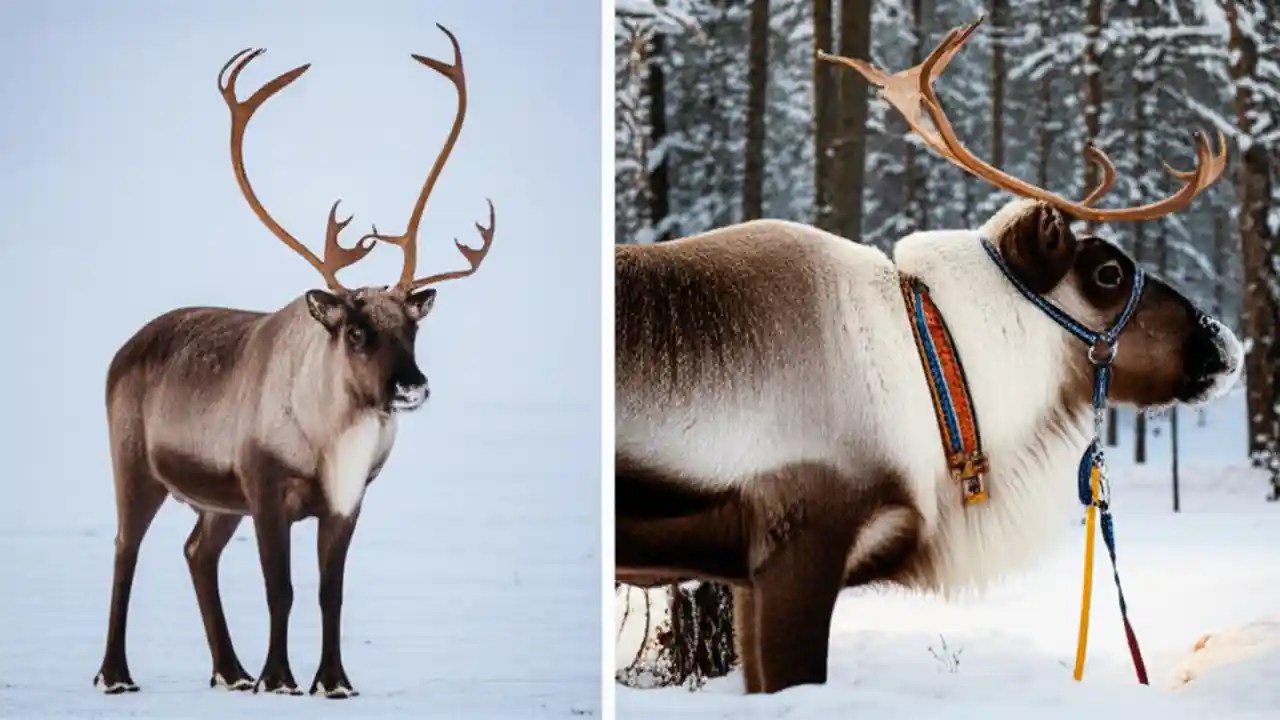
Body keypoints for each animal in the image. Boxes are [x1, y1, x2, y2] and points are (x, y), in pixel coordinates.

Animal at [92, 25, 494, 699]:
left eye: (412, 329)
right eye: (356, 332)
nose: (412, 386)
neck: (329, 443)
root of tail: (122, 351)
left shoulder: (346, 501)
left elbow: (331, 594)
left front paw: (333, 681)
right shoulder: (263, 487)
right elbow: (279, 589)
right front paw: (279, 679)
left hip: (215, 501)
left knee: (196, 552)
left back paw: (229, 671)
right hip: (135, 463)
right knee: (125, 549)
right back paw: (116, 674)